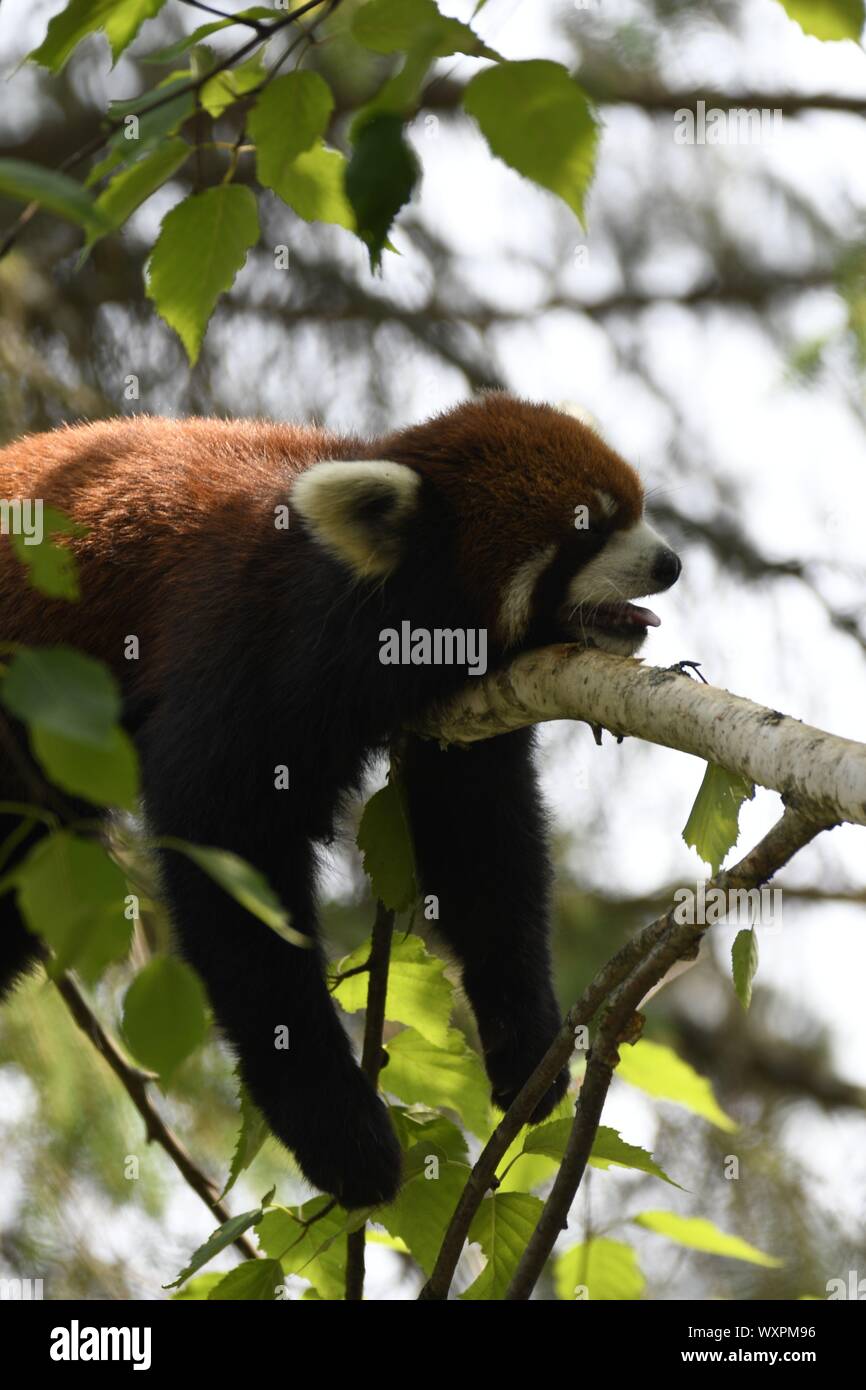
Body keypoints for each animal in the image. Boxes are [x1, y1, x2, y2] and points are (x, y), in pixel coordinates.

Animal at [0, 393, 680, 1209]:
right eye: (587, 528)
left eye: (633, 510)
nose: (670, 563)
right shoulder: (242, 653)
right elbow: (231, 874)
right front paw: (340, 1132)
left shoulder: (459, 717)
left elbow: (482, 846)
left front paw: (526, 1044)